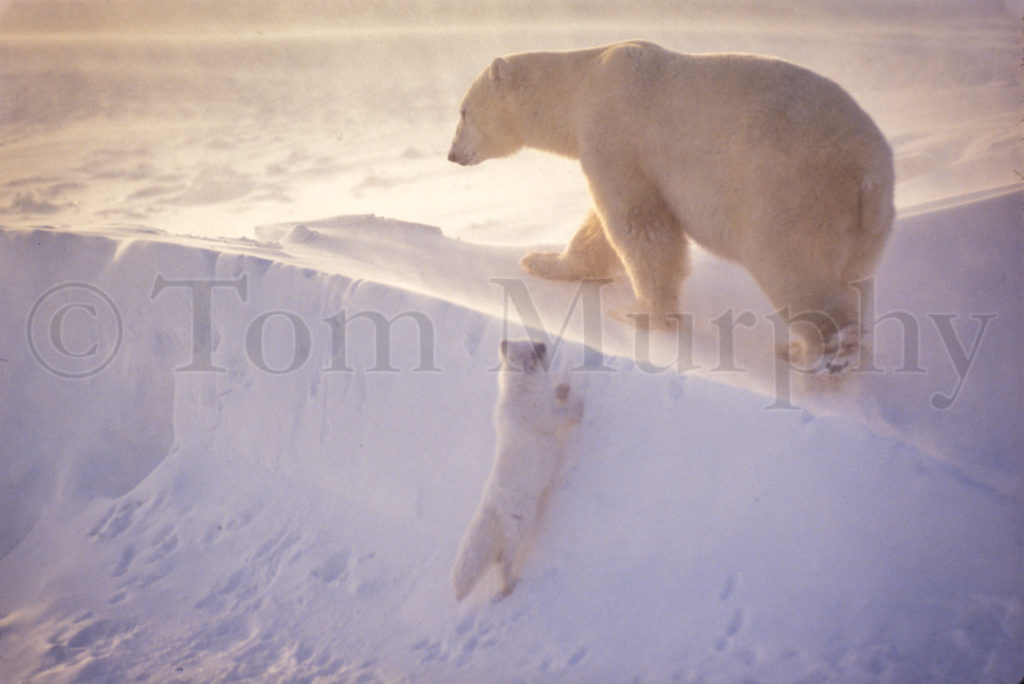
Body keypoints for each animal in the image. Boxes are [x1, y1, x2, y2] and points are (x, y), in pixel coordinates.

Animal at [448, 41, 894, 373]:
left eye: (464, 111)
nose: (452, 154)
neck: (583, 82)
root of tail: (869, 176)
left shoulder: (615, 130)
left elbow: (637, 222)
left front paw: (641, 315)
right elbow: (599, 227)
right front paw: (541, 261)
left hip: (792, 195)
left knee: (791, 270)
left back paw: (812, 353)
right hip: (863, 229)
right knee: (853, 279)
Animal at [451, 340, 583, 601]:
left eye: (527, 341)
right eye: (534, 349)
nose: (544, 343)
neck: (520, 390)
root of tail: (490, 503)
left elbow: (557, 396)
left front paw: (562, 389)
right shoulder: (548, 418)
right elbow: (564, 413)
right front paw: (580, 407)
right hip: (522, 525)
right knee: (506, 561)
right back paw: (510, 586)